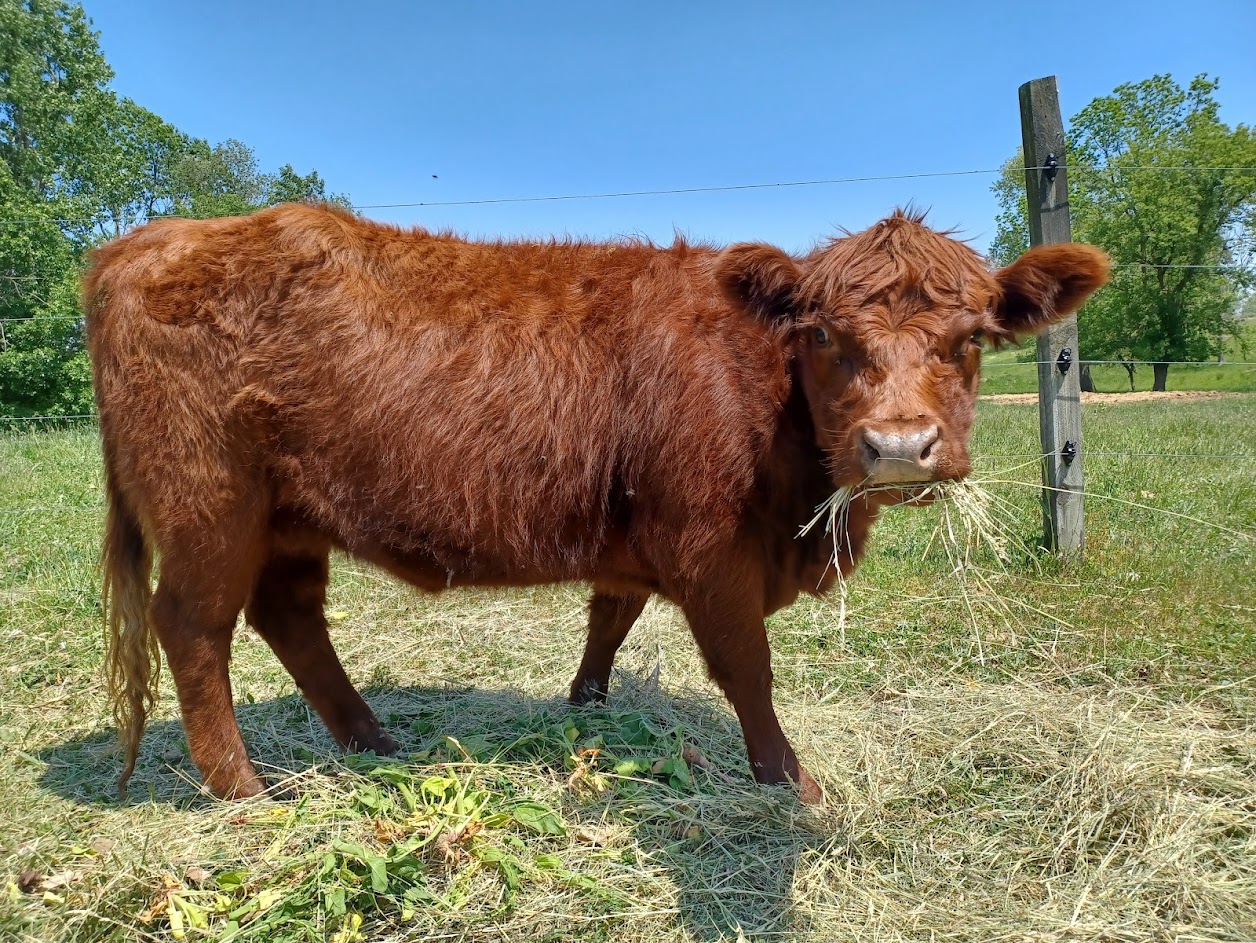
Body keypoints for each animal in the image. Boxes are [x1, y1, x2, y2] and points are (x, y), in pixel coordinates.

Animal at [84, 204, 1108, 803]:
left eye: (971, 338)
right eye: (823, 334)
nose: (898, 447)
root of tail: (143, 240)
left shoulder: (638, 541)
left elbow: (608, 619)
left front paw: (585, 702)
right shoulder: (711, 551)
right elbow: (749, 670)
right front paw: (791, 782)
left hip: (288, 519)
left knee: (290, 619)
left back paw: (372, 738)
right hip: (209, 507)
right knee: (195, 629)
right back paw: (243, 788)